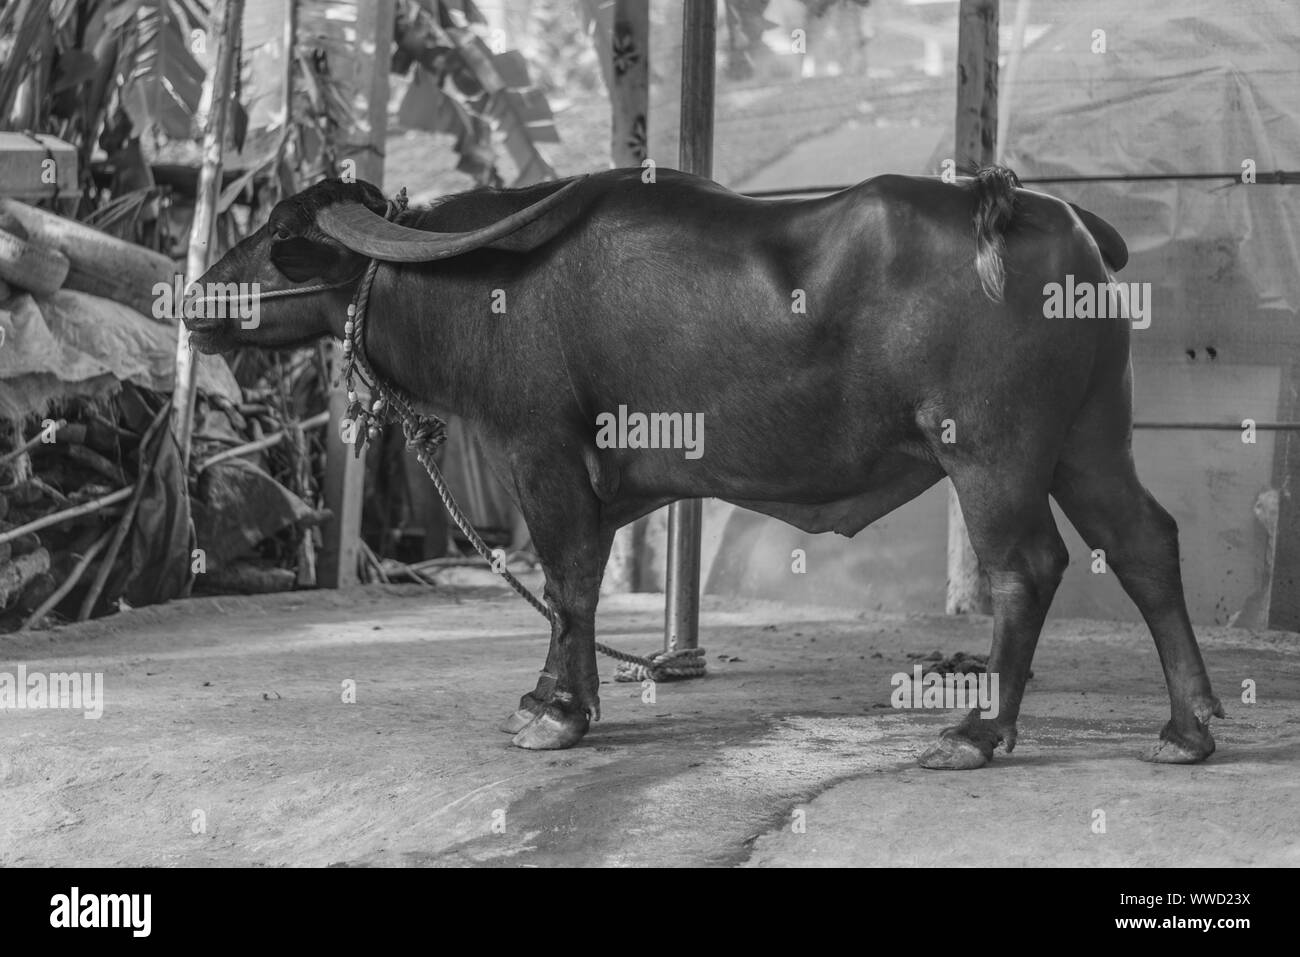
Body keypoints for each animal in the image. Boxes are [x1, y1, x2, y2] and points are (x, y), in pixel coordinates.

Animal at [183, 165, 1224, 768]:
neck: (484, 281)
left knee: (1027, 568)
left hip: (992, 450)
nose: (194, 299)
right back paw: (1189, 723)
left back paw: (978, 731)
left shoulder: (539, 447)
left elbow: (565, 581)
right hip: (1089, 437)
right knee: (1146, 542)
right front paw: (564, 696)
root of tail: (1044, 211)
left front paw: (556, 714)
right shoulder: (600, 484)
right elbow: (578, 589)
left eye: (276, 238)